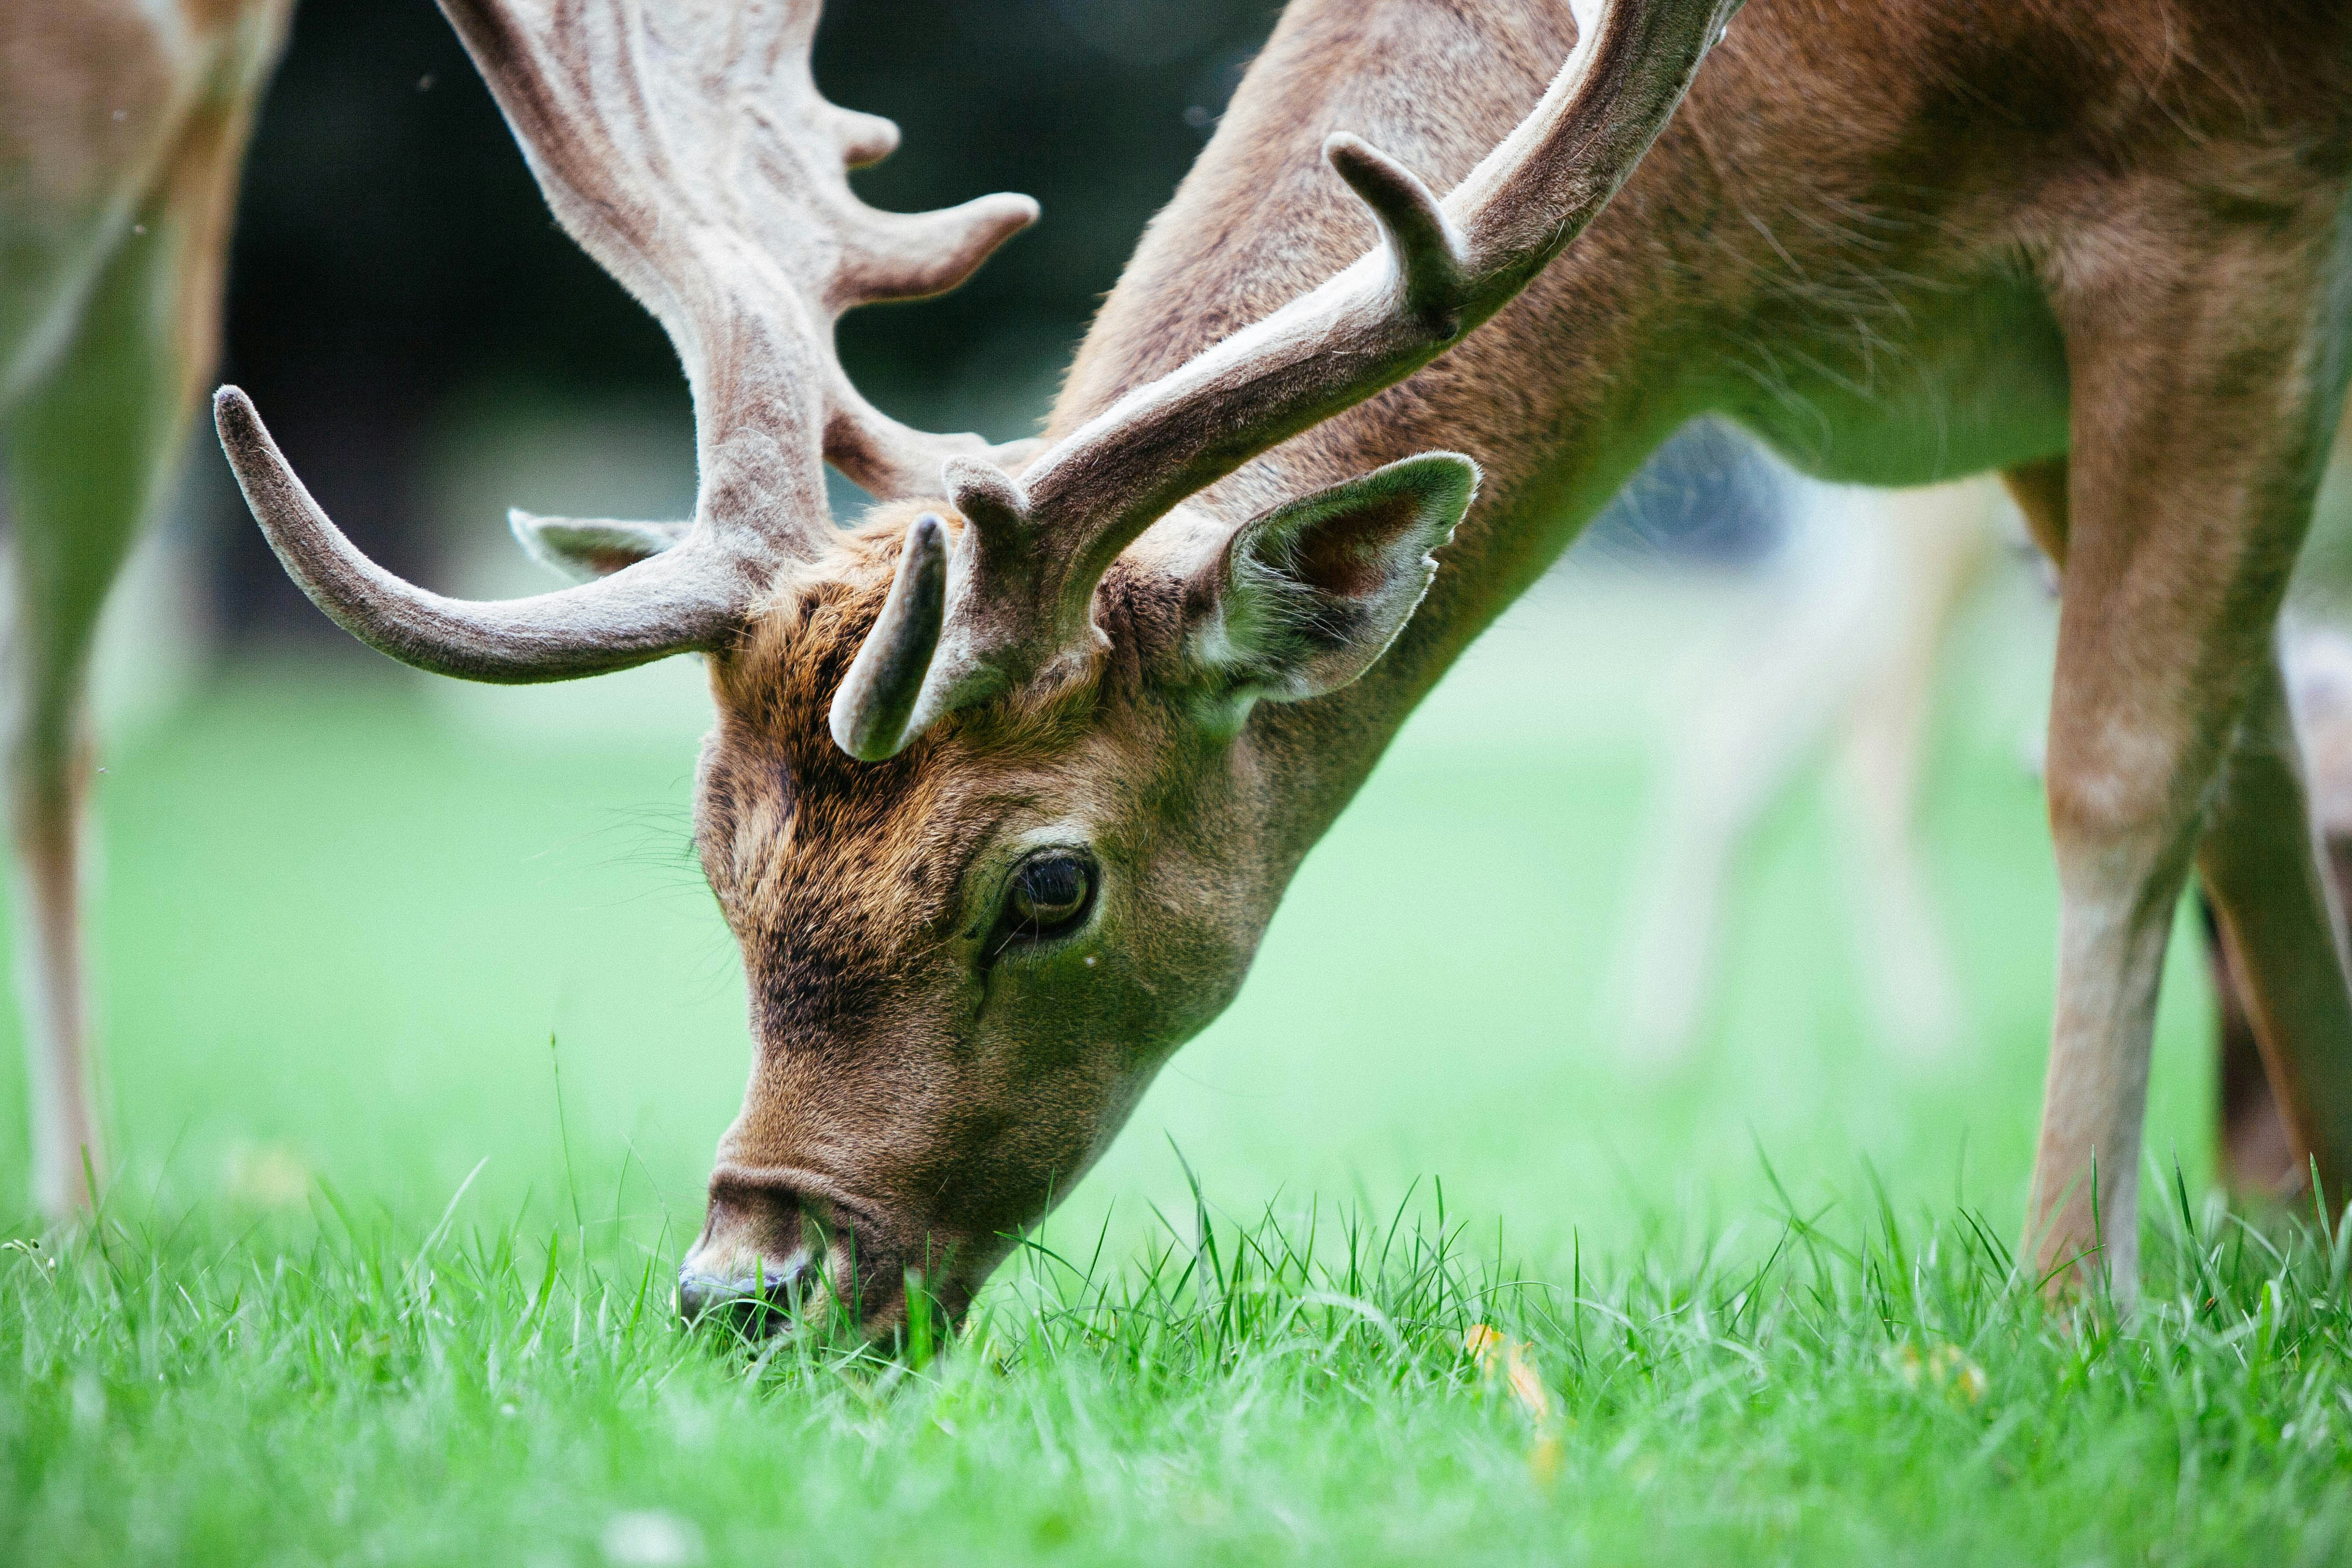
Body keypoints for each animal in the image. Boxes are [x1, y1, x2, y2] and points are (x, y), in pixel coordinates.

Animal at [201, 0, 2352, 1331]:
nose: (744, 1293)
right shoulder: (2026, 391)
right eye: (718, 864)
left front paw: (2072, 1308)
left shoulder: (2219, 208)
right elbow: (2253, 773)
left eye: (1049, 882)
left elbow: (2124, 770)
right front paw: (2316, 1229)